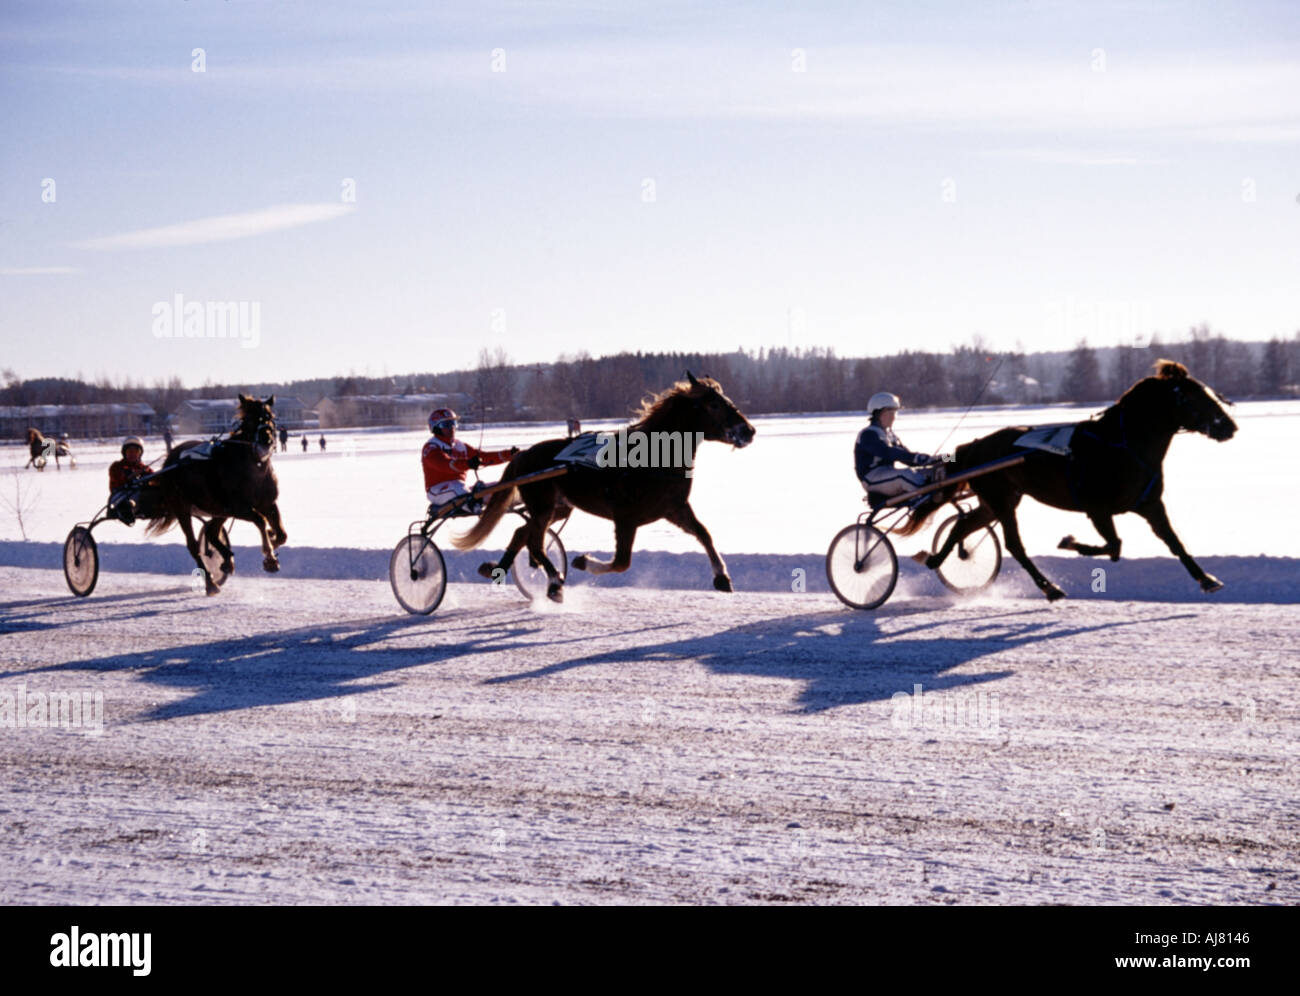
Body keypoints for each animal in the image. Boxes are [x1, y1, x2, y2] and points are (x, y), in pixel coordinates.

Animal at [146, 394, 288, 595]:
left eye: (270, 417)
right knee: (193, 545)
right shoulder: (238, 507)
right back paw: (210, 582)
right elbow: (260, 521)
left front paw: (272, 540)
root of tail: (170, 459)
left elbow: (281, 534)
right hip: (182, 508)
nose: (265, 438)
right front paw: (269, 555)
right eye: (249, 419)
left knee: (212, 532)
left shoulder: (268, 503)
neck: (253, 467)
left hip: (218, 509)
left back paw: (227, 560)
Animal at [452, 373, 756, 602]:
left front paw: (722, 577)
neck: (651, 456)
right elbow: (622, 562)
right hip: (542, 505)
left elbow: (704, 534)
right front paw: (582, 561)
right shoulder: (625, 517)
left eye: (725, 399)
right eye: (713, 404)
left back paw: (499, 569)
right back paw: (554, 582)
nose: (749, 431)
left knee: (522, 532)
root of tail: (523, 455)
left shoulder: (675, 507)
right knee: (536, 544)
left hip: (558, 507)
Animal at [903, 360, 1236, 601]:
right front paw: (1070, 542)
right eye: (1192, 397)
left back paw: (933, 559)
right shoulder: (1097, 509)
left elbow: (1174, 541)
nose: (1229, 426)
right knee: (1014, 545)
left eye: (1208, 392)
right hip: (1001, 500)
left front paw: (1207, 579)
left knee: (963, 524)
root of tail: (973, 446)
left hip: (999, 499)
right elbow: (1114, 546)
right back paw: (1050, 588)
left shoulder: (1150, 504)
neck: (1122, 444)